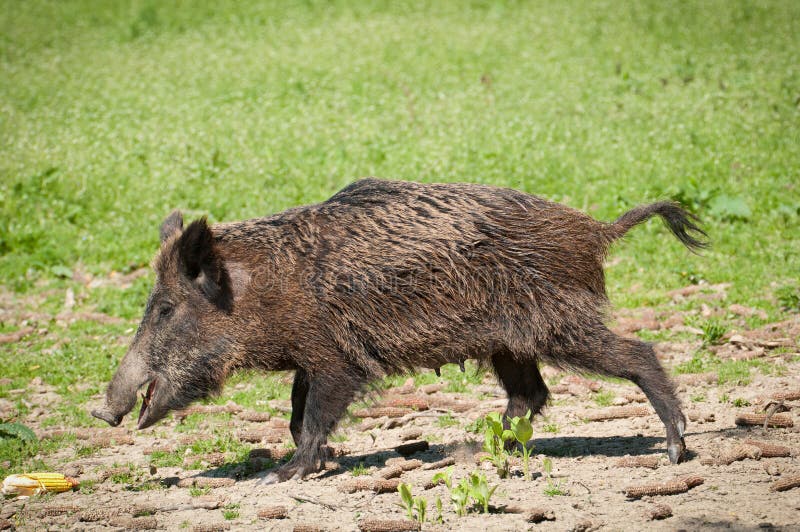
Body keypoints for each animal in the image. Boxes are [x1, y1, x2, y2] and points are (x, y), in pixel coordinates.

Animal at [91, 178, 707, 482]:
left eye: (165, 309)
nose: (100, 411)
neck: (262, 289)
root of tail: (597, 231)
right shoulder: (312, 357)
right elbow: (296, 412)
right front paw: (324, 461)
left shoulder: (336, 358)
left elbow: (313, 415)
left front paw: (285, 476)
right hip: (507, 342)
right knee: (530, 394)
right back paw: (475, 452)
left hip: (556, 323)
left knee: (636, 352)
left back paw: (674, 451)